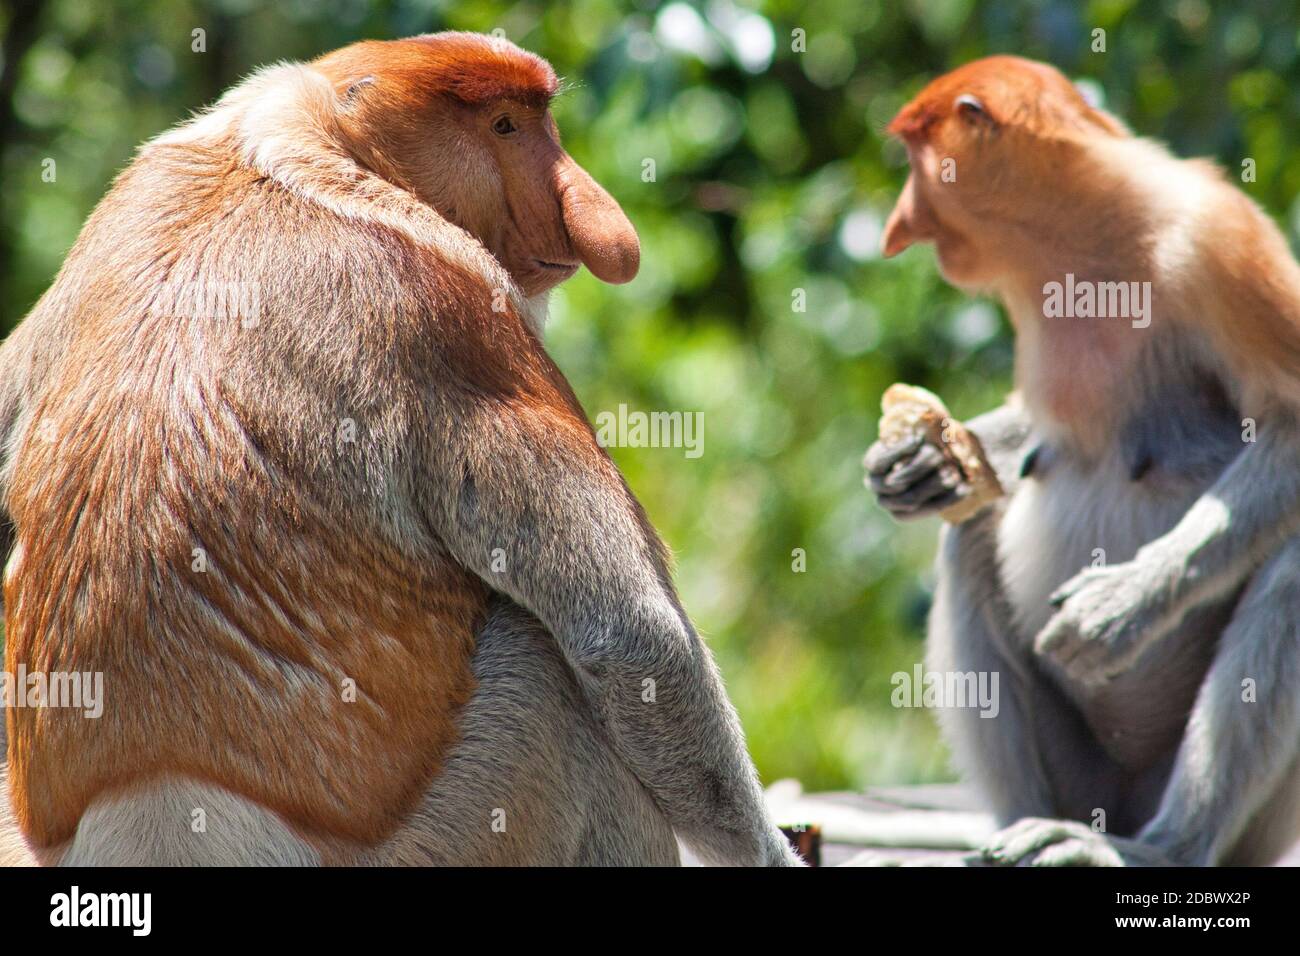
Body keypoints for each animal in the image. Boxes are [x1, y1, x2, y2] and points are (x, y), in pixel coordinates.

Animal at [0, 33, 799, 866]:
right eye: (506, 127)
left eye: (532, 120)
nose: (599, 223)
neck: (304, 150)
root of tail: (159, 808)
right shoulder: (462, 318)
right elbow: (632, 639)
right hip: (470, 815)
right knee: (550, 669)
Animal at [865, 56, 1300, 866]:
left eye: (912, 161)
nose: (894, 228)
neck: (1085, 237)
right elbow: (1034, 437)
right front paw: (923, 461)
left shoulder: (1219, 243)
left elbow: (1291, 423)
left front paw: (1120, 605)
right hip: (1087, 777)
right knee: (970, 541)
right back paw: (1023, 825)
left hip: (1245, 823)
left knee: (1292, 567)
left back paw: (1158, 847)